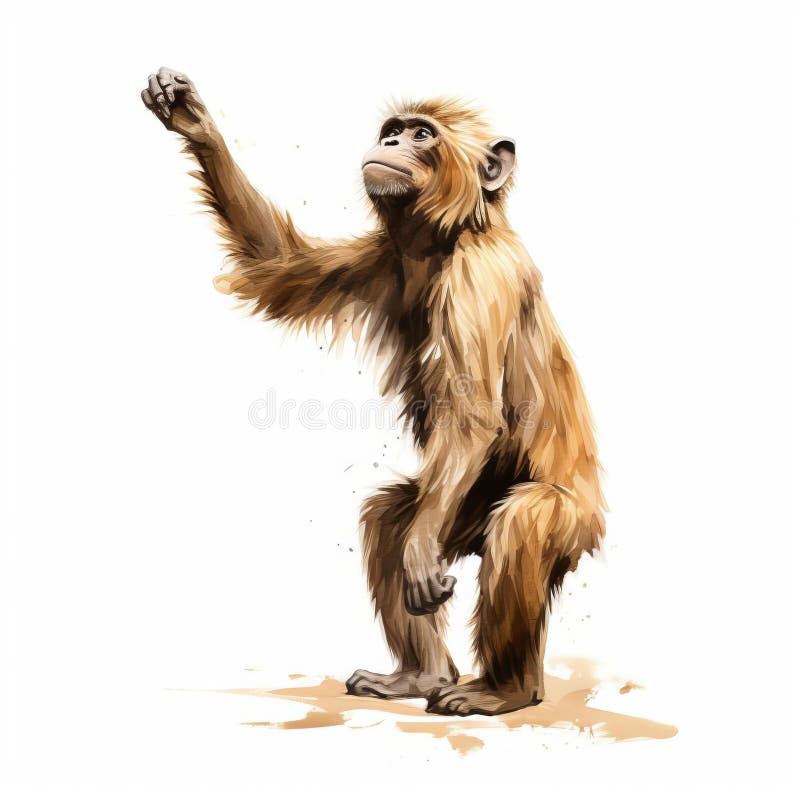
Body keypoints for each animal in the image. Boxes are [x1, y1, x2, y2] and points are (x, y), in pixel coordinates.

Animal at [142, 67, 606, 716]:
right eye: (394, 130)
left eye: (421, 135)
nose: (389, 143)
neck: (452, 235)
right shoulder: (379, 258)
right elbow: (278, 262)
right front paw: (194, 121)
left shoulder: (479, 278)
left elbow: (471, 415)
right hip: (459, 505)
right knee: (391, 520)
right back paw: (420, 676)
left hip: (567, 519)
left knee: (521, 524)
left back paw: (504, 689)